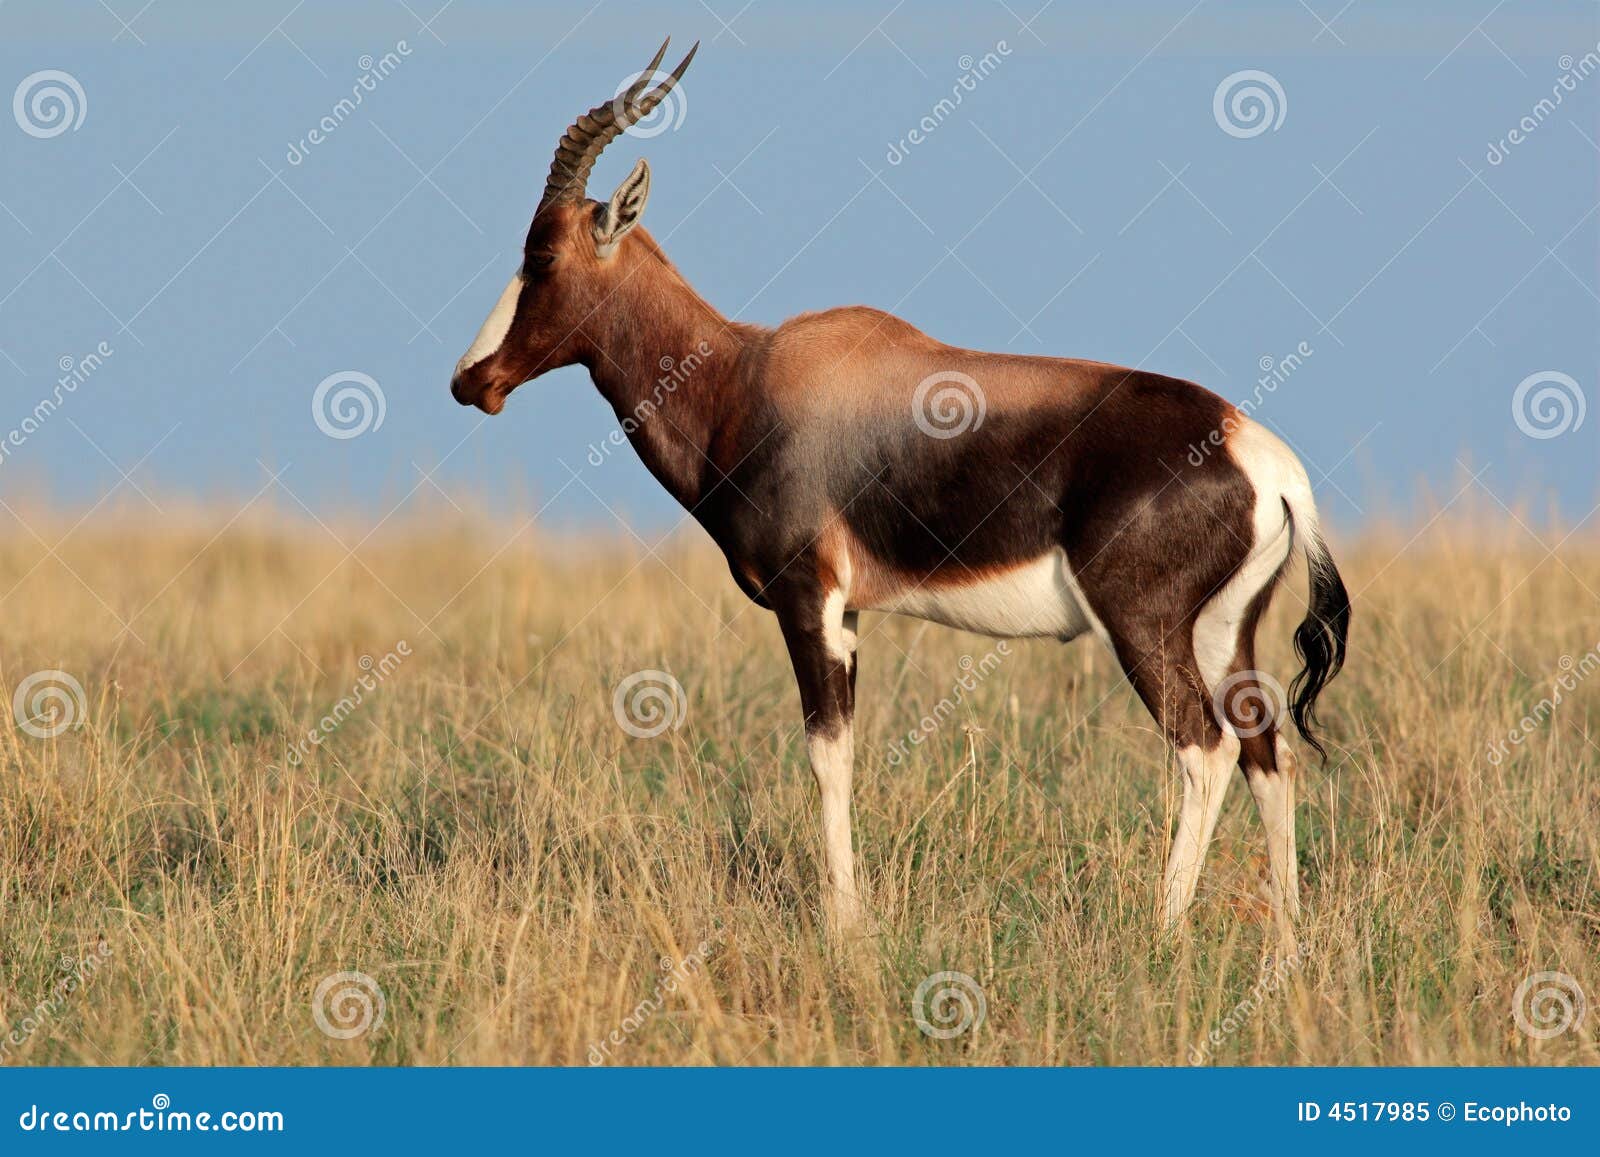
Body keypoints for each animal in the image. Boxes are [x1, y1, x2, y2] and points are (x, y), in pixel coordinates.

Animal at [450, 40, 1351, 936]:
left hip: (1145, 624)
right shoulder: (848, 612)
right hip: (1226, 630)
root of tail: (1263, 458)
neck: (745, 378)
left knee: (1205, 747)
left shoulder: (807, 597)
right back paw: (1287, 946)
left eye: (540, 255)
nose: (470, 380)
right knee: (1267, 751)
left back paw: (1163, 933)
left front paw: (844, 925)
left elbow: (825, 752)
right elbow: (845, 750)